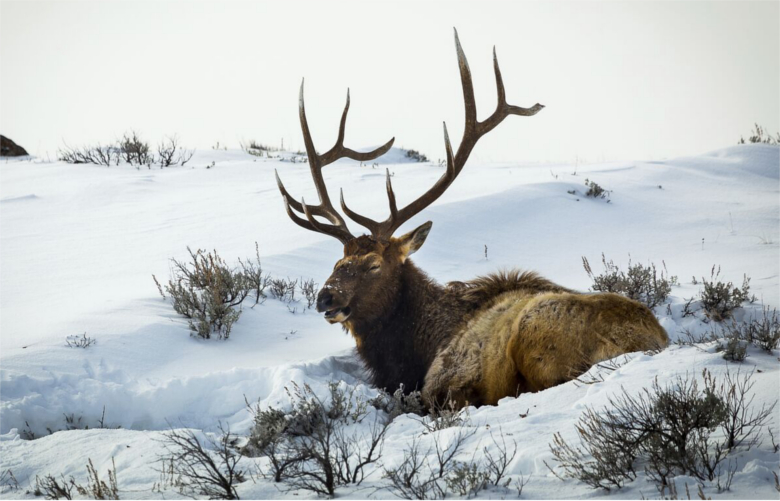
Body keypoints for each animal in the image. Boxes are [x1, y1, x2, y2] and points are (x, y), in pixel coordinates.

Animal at [274, 30, 669, 409]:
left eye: (373, 265)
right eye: (338, 261)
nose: (325, 297)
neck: (417, 350)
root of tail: (655, 340)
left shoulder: (449, 378)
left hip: (535, 330)